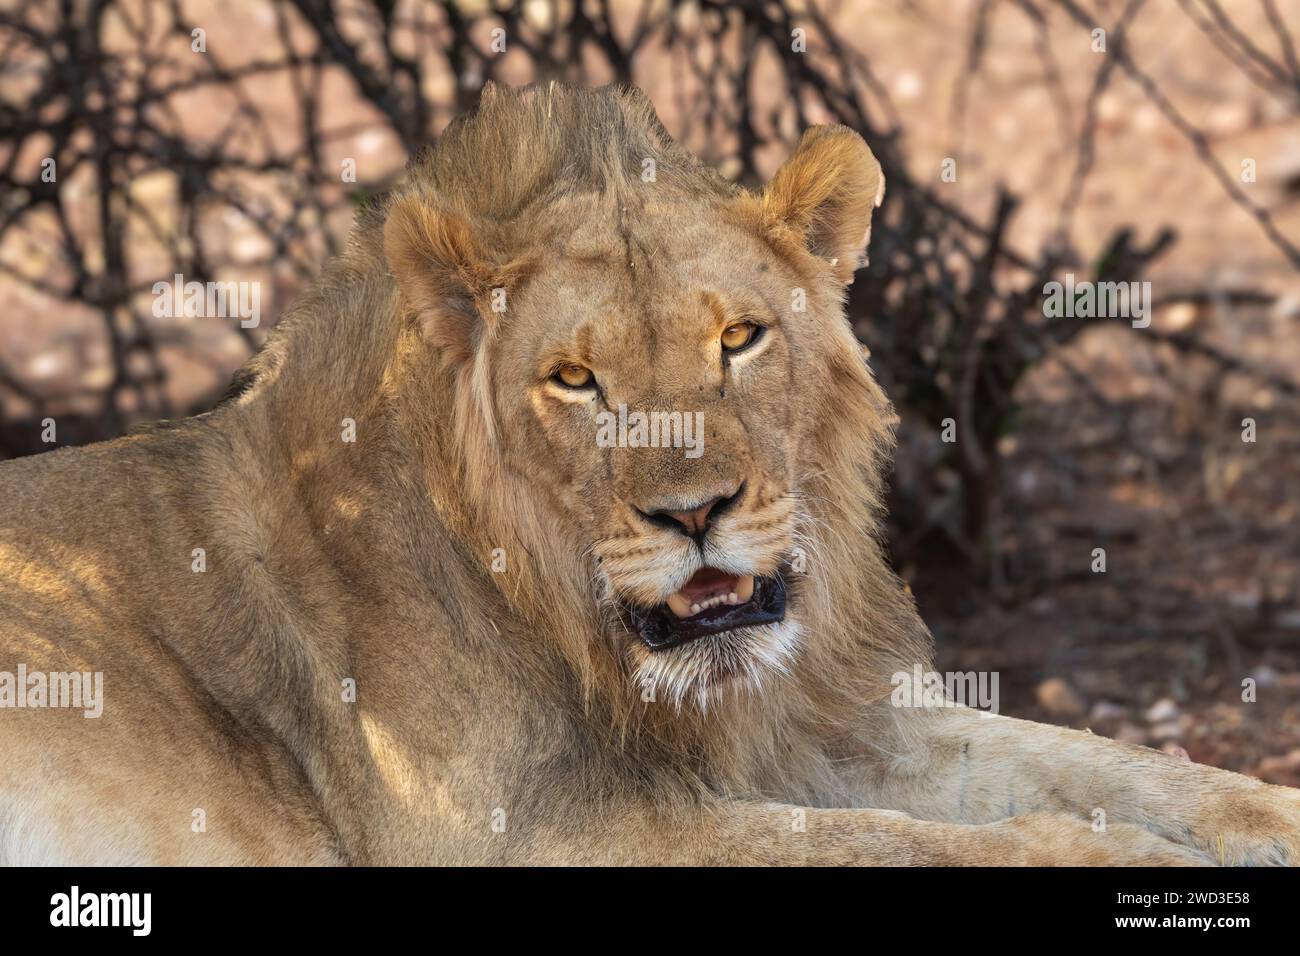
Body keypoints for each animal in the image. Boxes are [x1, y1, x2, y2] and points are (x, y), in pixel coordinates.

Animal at [0, 82, 1296, 865]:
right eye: (575, 380)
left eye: (740, 339)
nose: (696, 513)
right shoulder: (535, 833)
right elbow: (898, 841)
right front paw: (1117, 858)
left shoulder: (832, 717)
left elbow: (1114, 763)